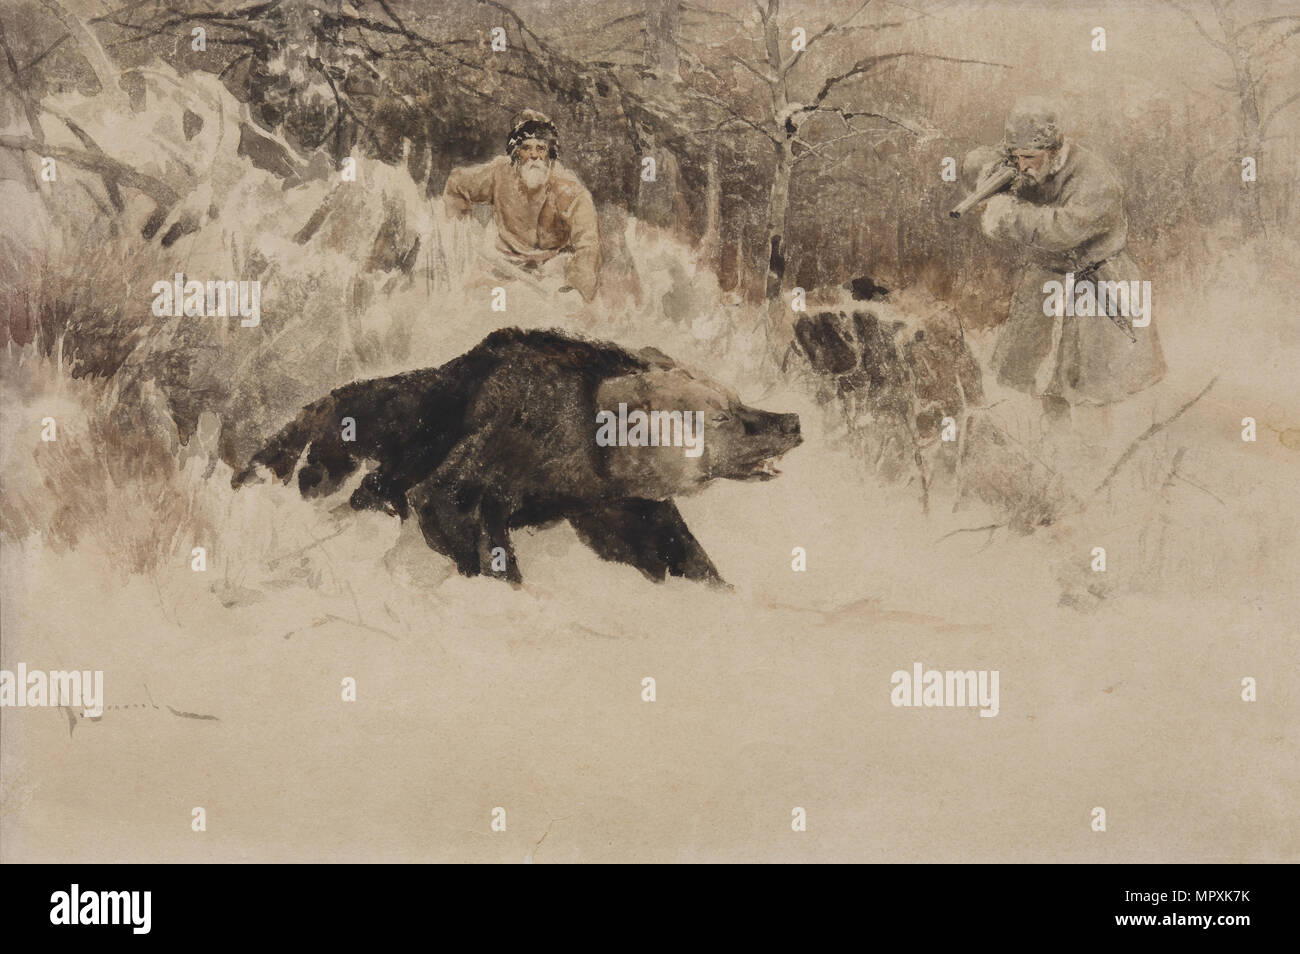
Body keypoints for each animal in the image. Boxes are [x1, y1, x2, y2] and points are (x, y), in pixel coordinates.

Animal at [233, 328, 801, 586]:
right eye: (723, 416)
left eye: (736, 400)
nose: (791, 421)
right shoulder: (496, 444)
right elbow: (449, 507)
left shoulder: (607, 500)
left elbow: (667, 547)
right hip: (343, 445)